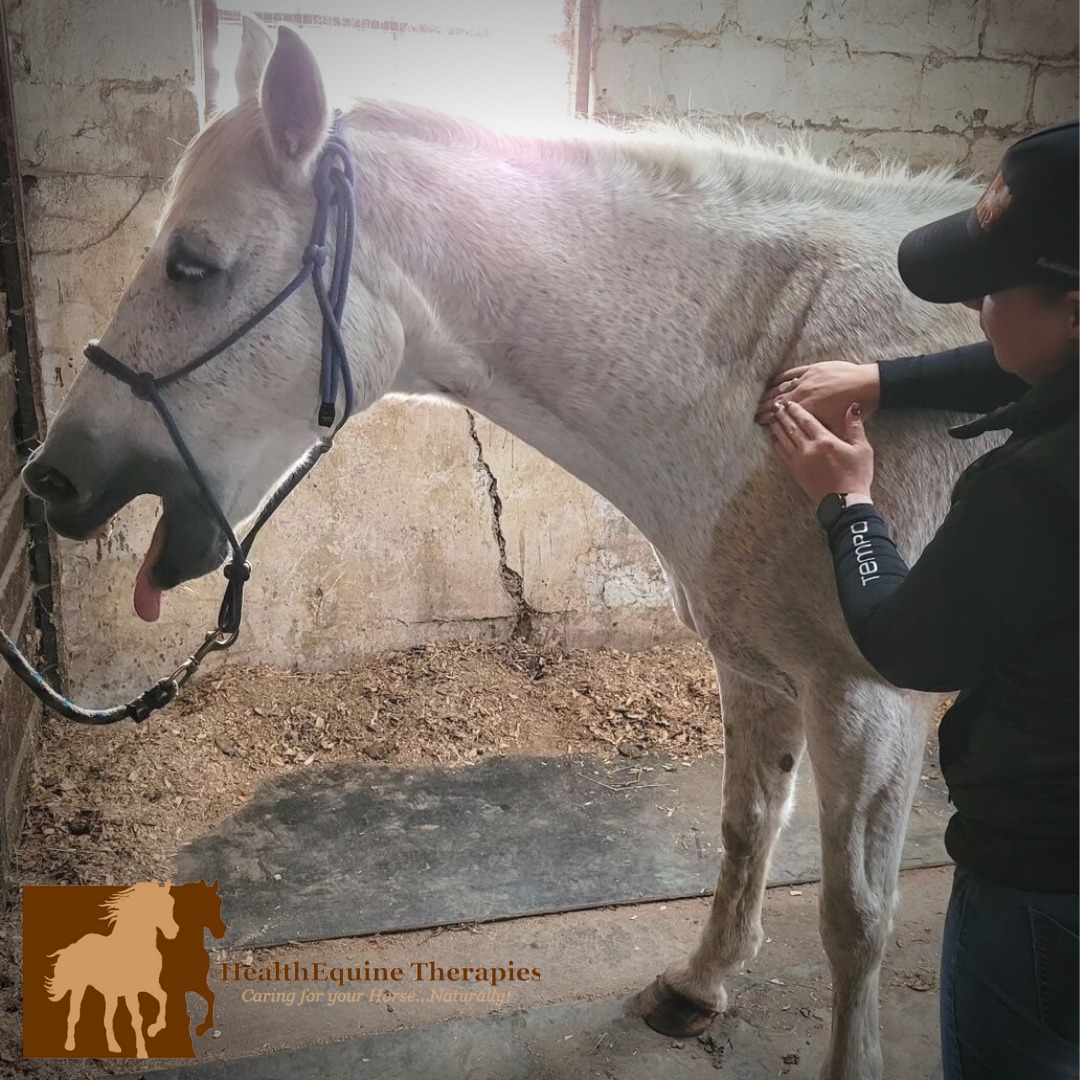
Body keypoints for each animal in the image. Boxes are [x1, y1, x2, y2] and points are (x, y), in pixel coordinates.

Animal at [43, 880, 178, 1057]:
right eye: (156, 906)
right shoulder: (131, 991)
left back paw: (114, 1047)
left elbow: (164, 997)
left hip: (111, 995)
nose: (174, 932)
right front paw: (142, 1052)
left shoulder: (150, 985)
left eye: (171, 904)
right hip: (79, 988)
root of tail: (73, 946)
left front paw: (154, 1029)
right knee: (73, 1016)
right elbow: (137, 1019)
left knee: (107, 1020)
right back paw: (70, 1046)